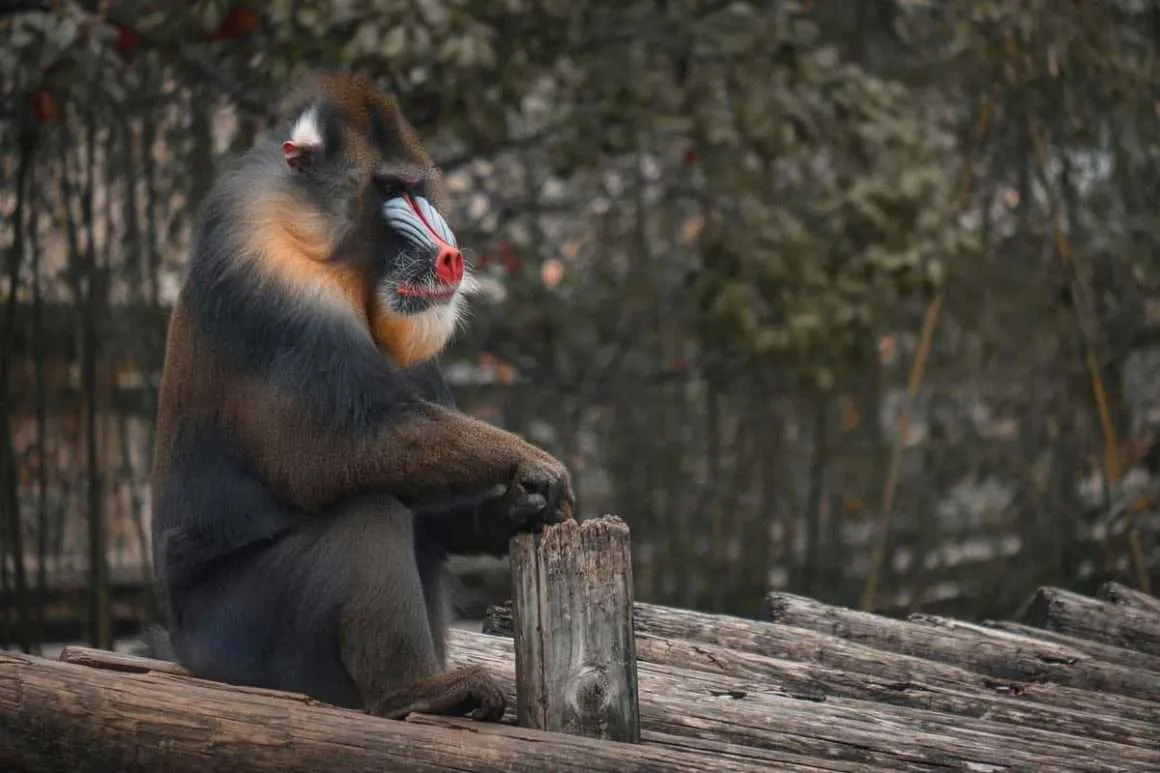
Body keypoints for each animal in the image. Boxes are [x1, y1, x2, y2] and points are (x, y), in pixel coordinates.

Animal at [149, 72, 574, 722]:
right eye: (391, 190)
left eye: (417, 188)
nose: (450, 255)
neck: (334, 256)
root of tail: (184, 650)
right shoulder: (275, 294)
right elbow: (333, 453)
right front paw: (531, 462)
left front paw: (516, 509)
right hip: (240, 641)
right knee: (366, 514)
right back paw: (420, 692)